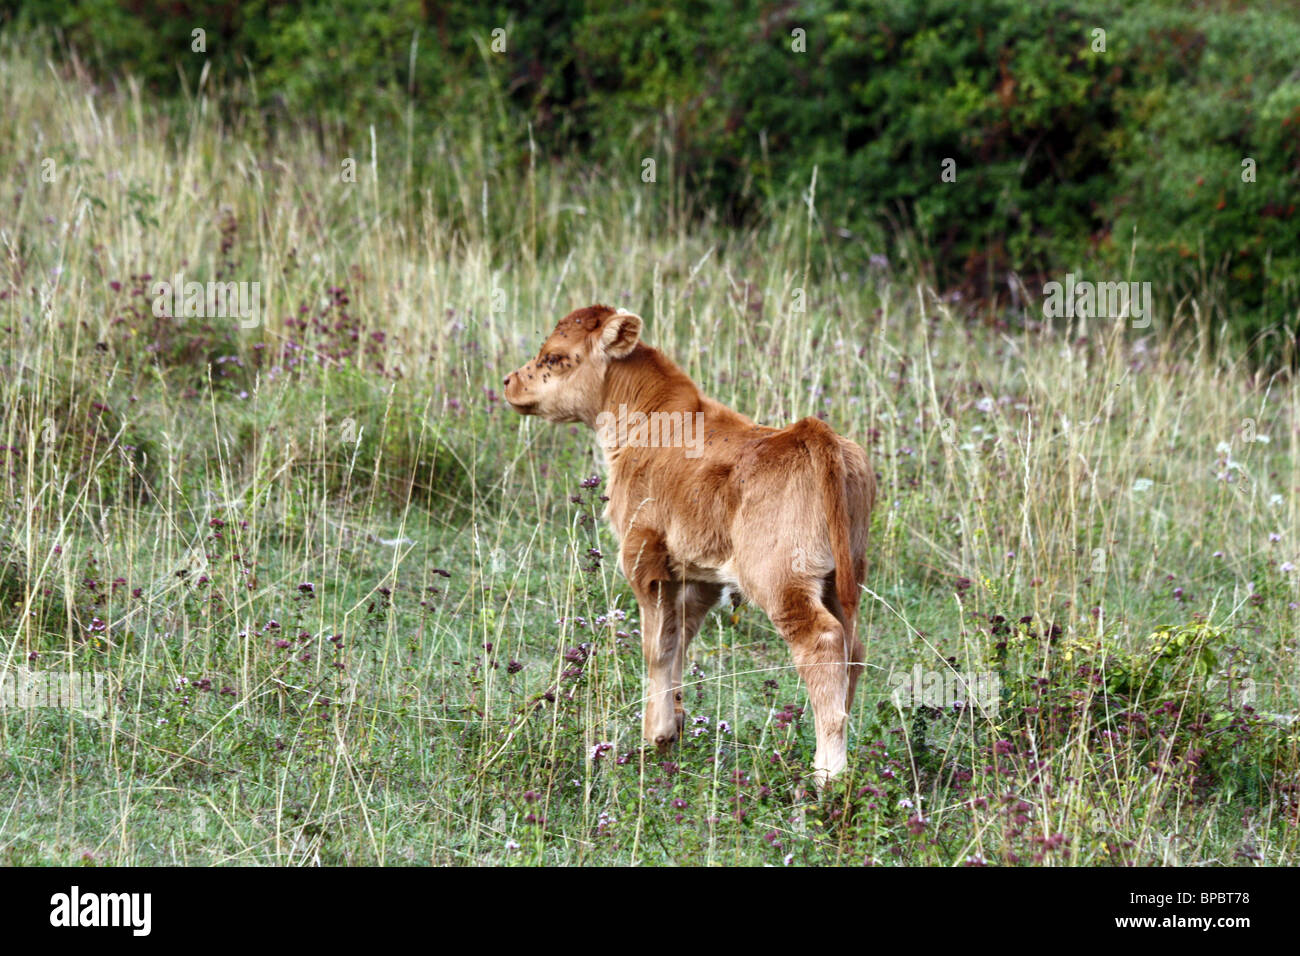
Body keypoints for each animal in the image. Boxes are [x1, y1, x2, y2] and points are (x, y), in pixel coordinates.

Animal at [504, 304, 876, 787]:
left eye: (554, 357)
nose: (509, 382)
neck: (649, 422)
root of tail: (811, 433)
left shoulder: (644, 562)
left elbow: (656, 647)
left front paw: (656, 734)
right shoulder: (699, 578)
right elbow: (679, 639)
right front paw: (674, 729)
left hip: (781, 580)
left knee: (822, 643)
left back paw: (828, 772)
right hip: (845, 576)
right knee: (853, 647)